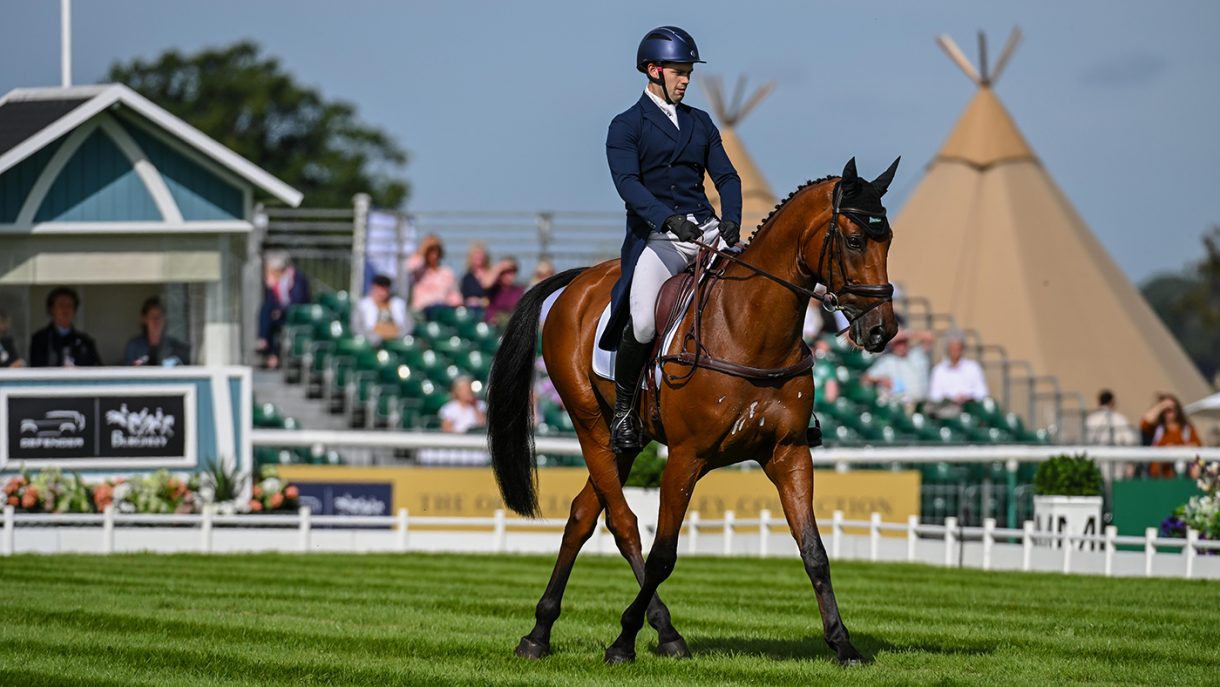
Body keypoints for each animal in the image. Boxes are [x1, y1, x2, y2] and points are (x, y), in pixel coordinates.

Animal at [487, 157, 900, 665]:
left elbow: (814, 552)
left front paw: (843, 644)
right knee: (623, 523)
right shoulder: (686, 457)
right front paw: (623, 641)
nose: (882, 330)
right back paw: (660, 631)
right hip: (591, 426)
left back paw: (540, 631)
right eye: (856, 239)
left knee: (583, 514)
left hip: (629, 441)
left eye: (889, 238)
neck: (750, 329)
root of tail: (580, 281)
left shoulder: (789, 454)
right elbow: (663, 554)